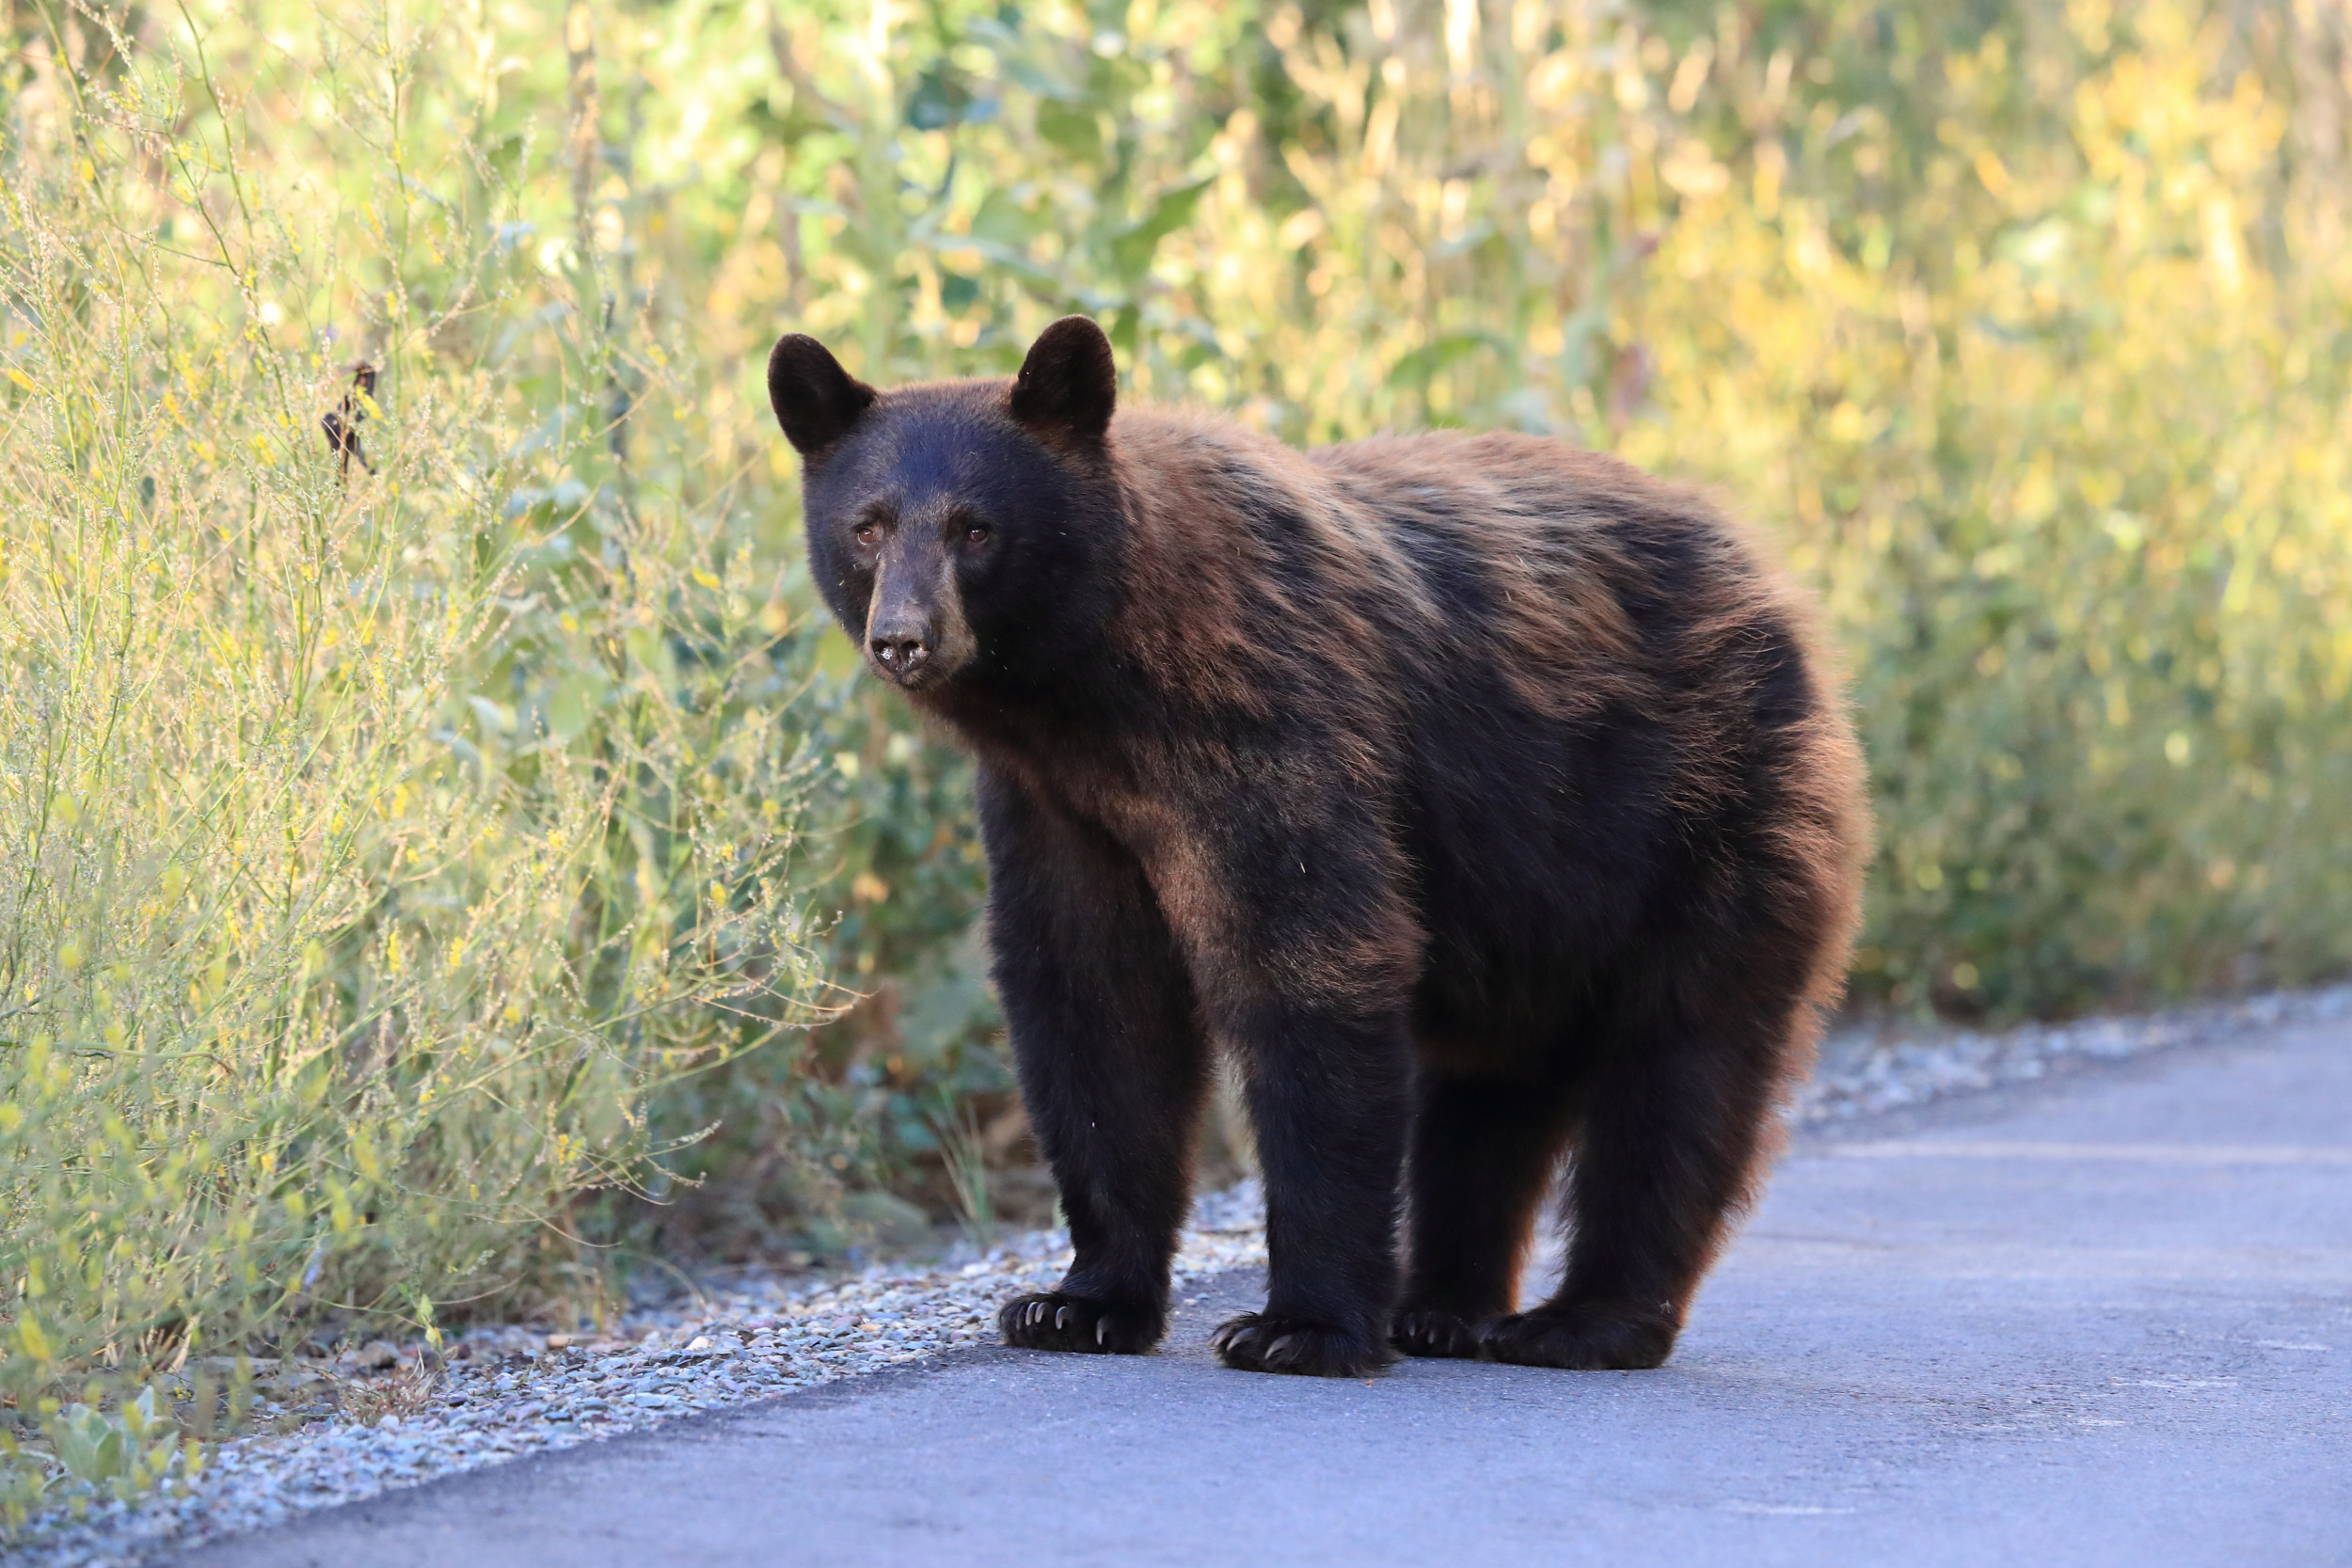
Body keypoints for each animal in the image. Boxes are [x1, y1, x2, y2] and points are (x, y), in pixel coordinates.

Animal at [767, 315, 1868, 1378]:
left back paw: (1584, 1322)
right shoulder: (1057, 808)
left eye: (977, 527)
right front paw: (1077, 1301)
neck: (1100, 692)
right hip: (1540, 903)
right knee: (1490, 1088)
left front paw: (1298, 1327)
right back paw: (1443, 1307)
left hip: (1701, 817)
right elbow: (1092, 1002)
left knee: (1678, 1069)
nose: (904, 638)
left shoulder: (1272, 720)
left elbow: (1306, 962)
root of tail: (1773, 583)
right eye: (867, 524)